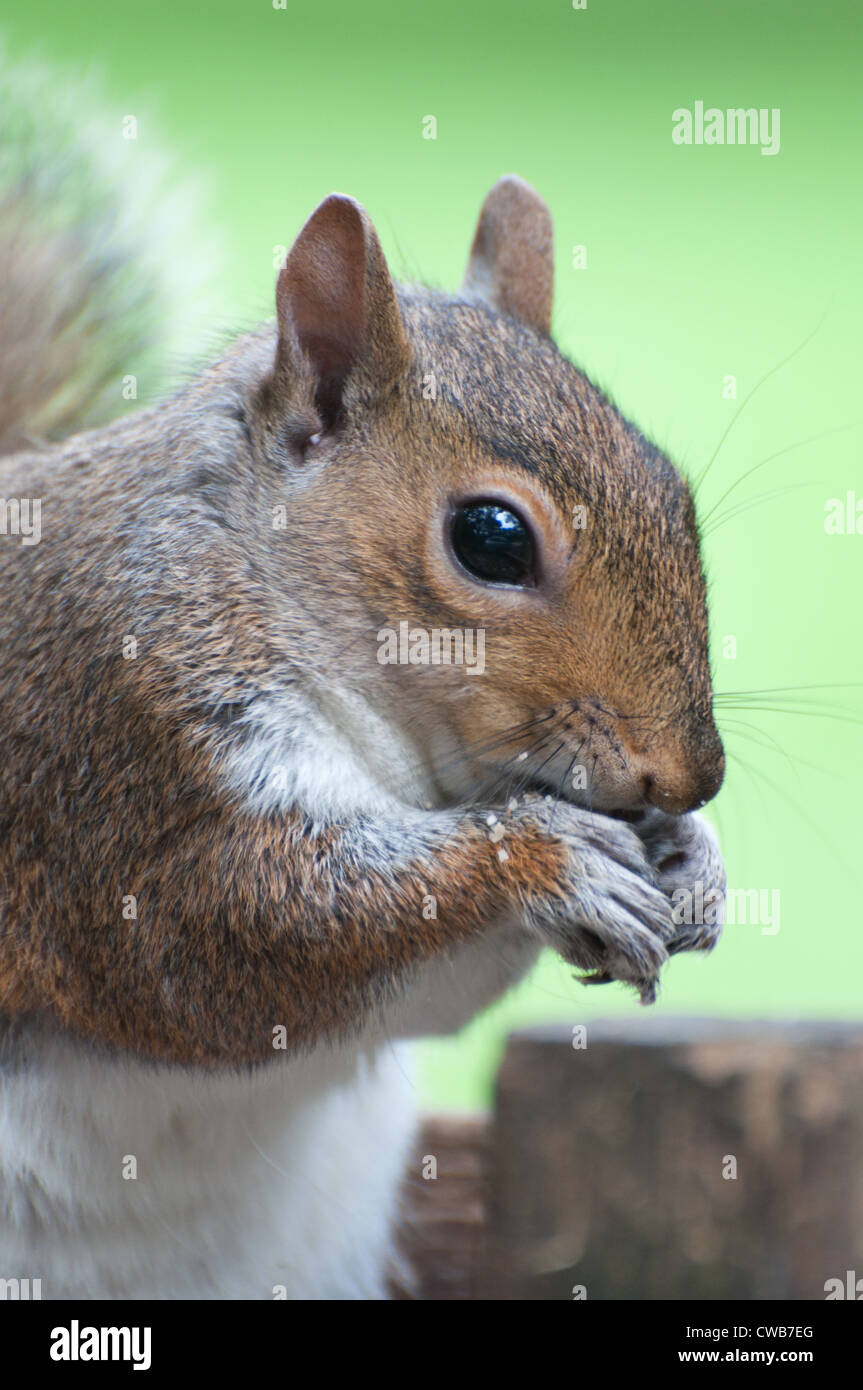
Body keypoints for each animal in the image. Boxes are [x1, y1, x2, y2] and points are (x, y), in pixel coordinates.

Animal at [0, 121, 726, 1296]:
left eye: (673, 492)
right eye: (491, 538)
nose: (691, 775)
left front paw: (694, 861)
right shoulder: (121, 748)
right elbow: (230, 938)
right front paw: (543, 858)